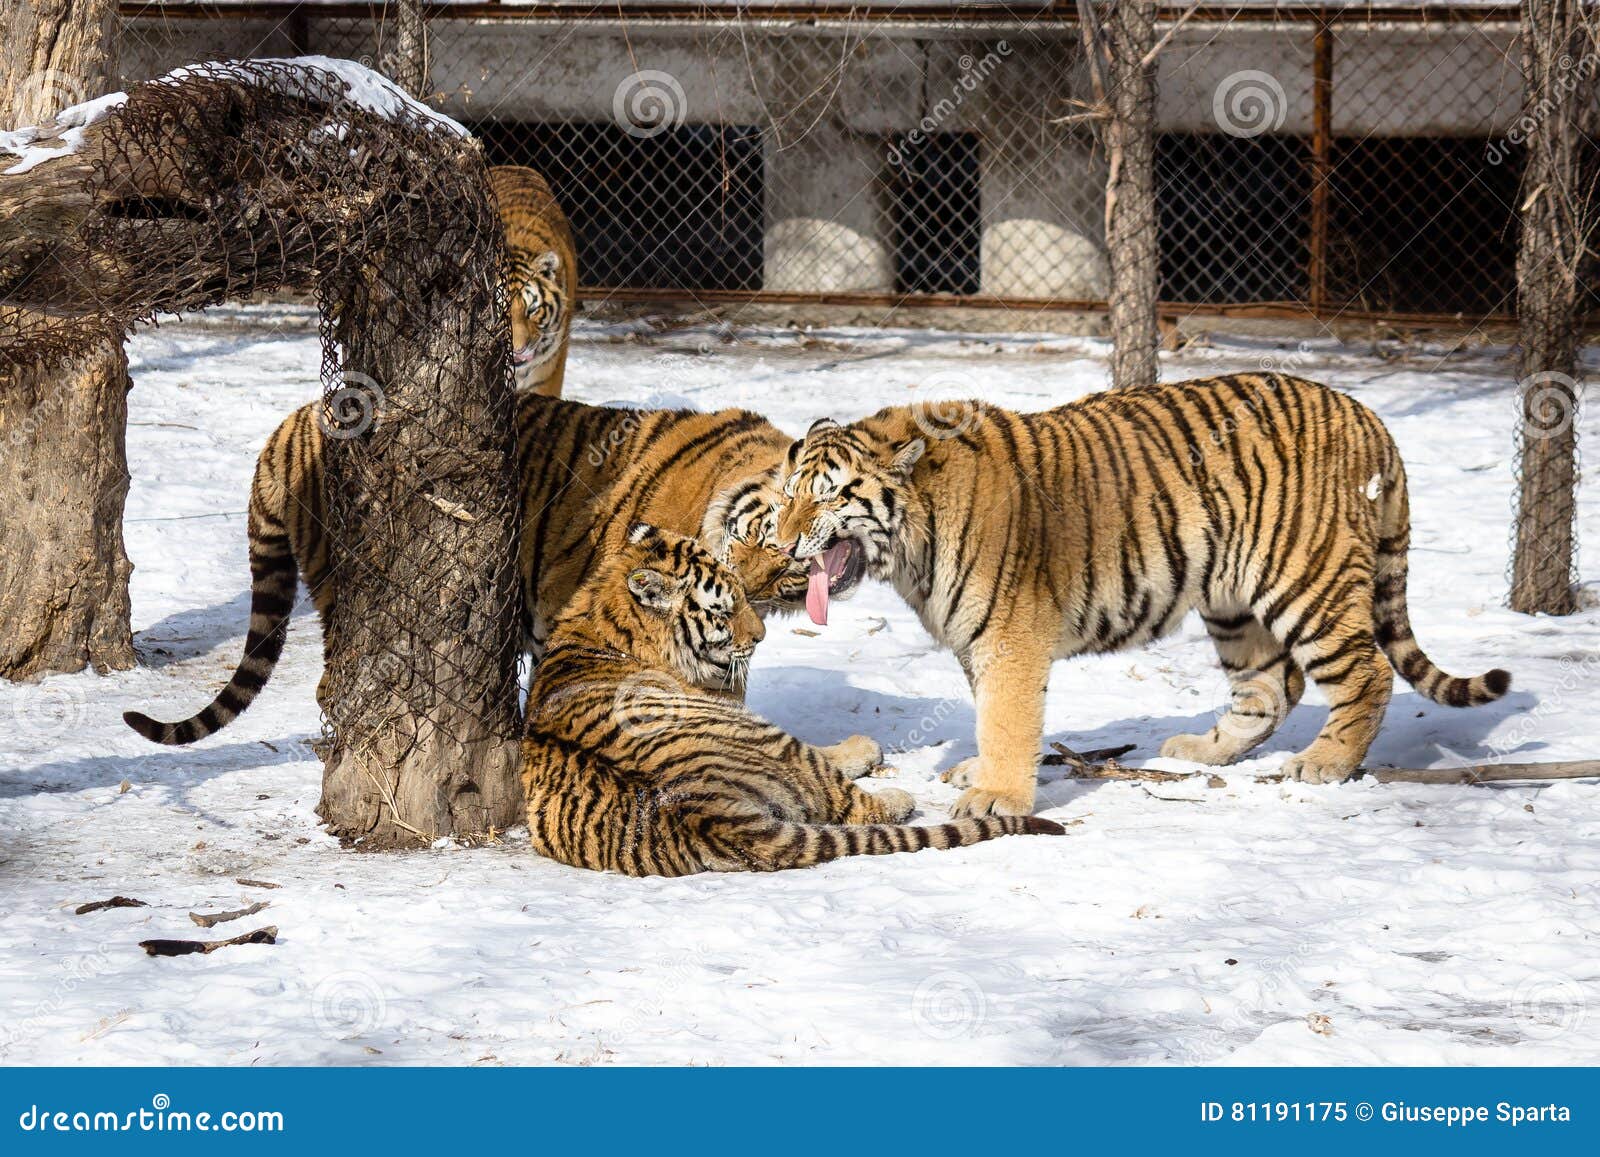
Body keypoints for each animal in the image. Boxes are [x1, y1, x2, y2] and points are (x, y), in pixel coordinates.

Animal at [123, 394, 805, 745]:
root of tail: (291, 421)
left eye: (800, 564)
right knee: (336, 685)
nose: (769, 588)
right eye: (767, 535)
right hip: (345, 588)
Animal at [521, 522, 1065, 876]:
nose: (760, 637)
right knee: (849, 801)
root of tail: (708, 812)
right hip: (768, 738)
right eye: (724, 610)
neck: (606, 617)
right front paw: (863, 750)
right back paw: (895, 792)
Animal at [773, 373, 1511, 817]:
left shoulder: (1010, 636)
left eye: (830, 496)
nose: (782, 543)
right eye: (788, 494)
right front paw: (978, 774)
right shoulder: (978, 641)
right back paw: (1201, 752)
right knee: (1273, 687)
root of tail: (1367, 413)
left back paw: (1324, 763)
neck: (911, 549)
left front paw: (995, 797)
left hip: (1306, 577)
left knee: (1367, 672)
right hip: (1233, 602)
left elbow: (1006, 717)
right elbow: (988, 713)